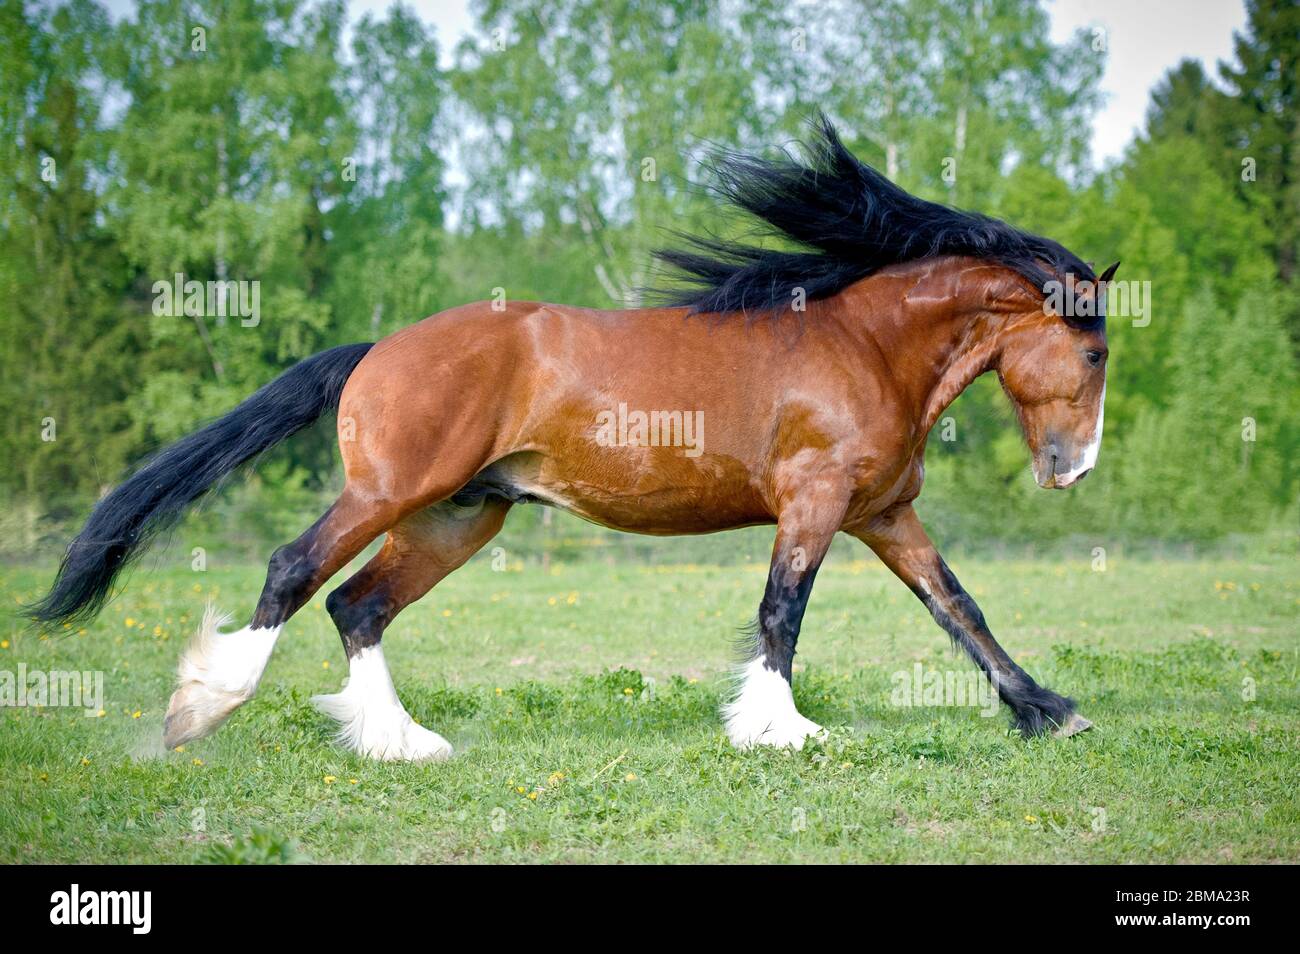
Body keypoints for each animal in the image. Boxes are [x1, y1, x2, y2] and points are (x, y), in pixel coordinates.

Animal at [29, 116, 1114, 761]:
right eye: (1096, 350)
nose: (1074, 469)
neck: (864, 346)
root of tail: (379, 346)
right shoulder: (813, 505)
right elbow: (782, 614)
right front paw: (778, 729)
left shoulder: (883, 514)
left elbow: (959, 609)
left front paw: (1049, 710)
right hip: (391, 493)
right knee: (296, 571)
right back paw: (202, 706)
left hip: (459, 517)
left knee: (356, 605)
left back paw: (404, 742)